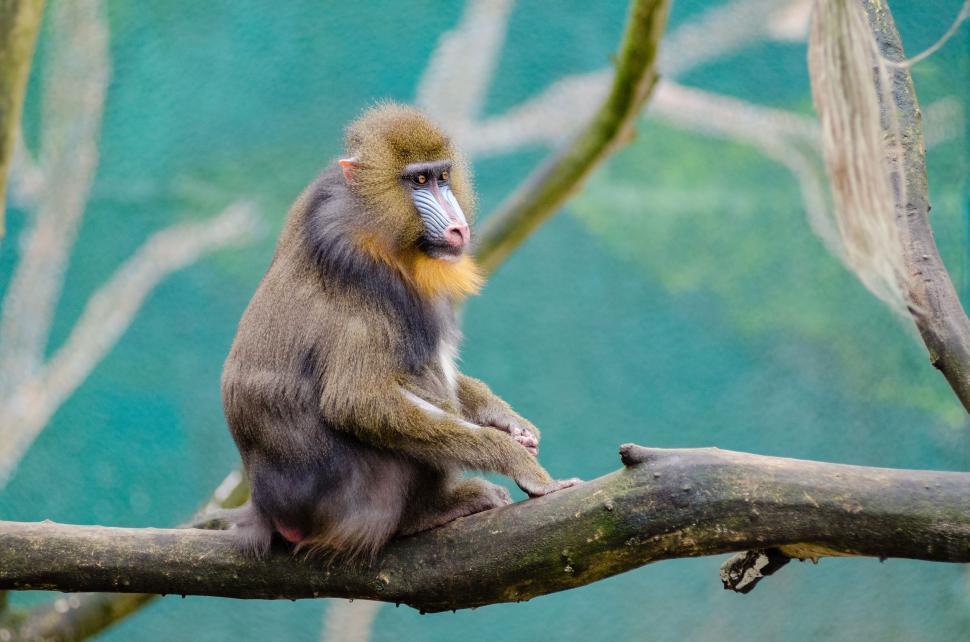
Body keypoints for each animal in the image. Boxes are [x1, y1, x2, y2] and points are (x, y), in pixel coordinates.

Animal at [220, 103, 580, 559]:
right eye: (419, 181)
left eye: (442, 176)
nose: (458, 228)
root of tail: (267, 512)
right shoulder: (366, 281)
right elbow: (357, 400)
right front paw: (518, 462)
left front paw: (508, 421)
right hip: (362, 505)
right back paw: (430, 511)